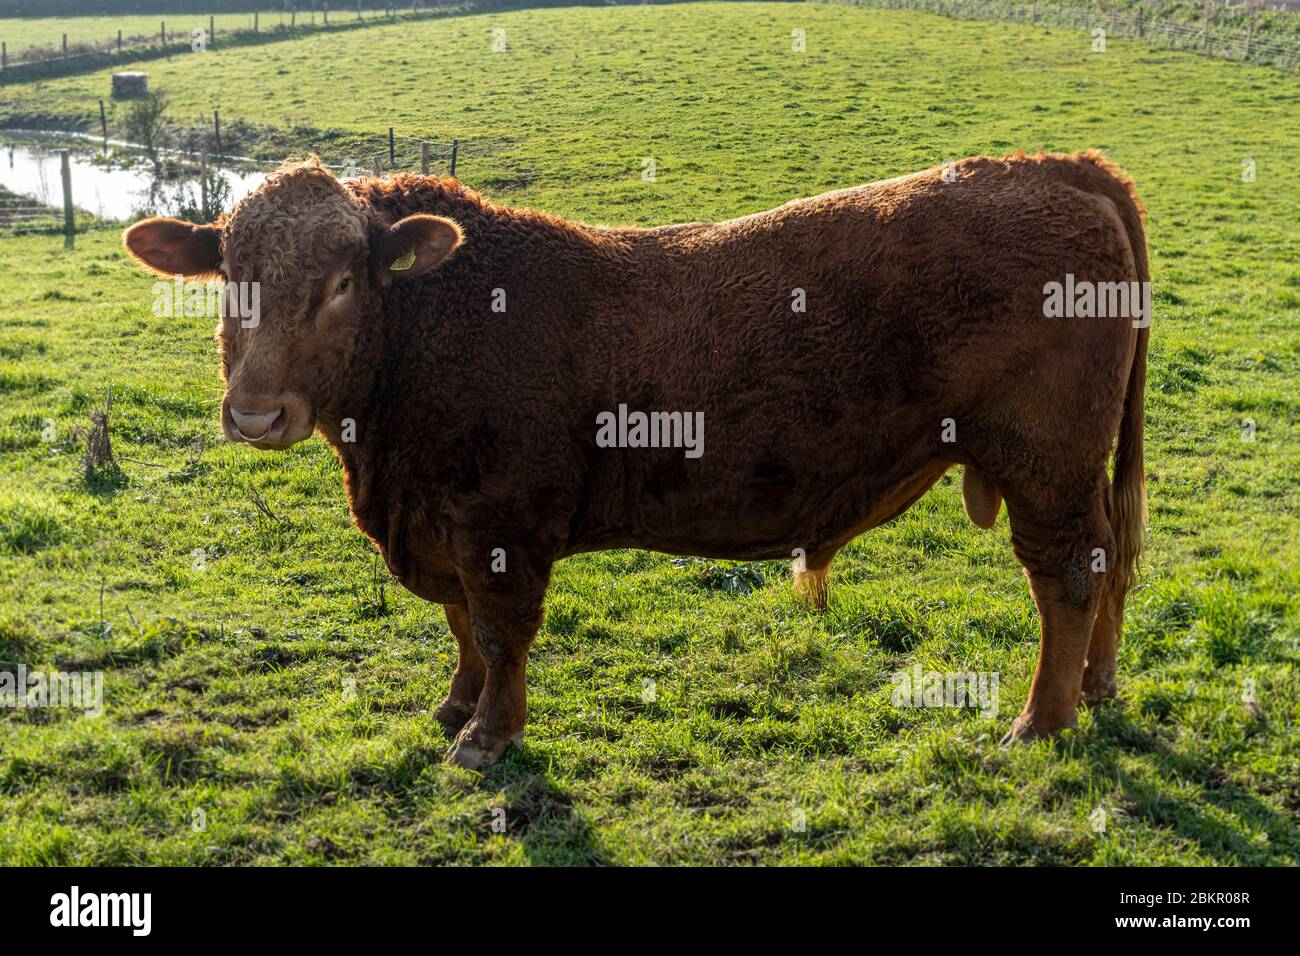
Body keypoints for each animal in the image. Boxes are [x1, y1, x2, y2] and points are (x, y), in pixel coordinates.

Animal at [123, 150, 1149, 769]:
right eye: (229, 277)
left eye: (342, 283)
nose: (256, 412)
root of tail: (1048, 167)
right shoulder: (439, 526)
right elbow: (458, 628)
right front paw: (455, 707)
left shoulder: (498, 526)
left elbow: (497, 629)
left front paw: (488, 735)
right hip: (1074, 470)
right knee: (1110, 562)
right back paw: (1097, 687)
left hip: (1044, 462)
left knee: (1065, 575)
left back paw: (1040, 720)